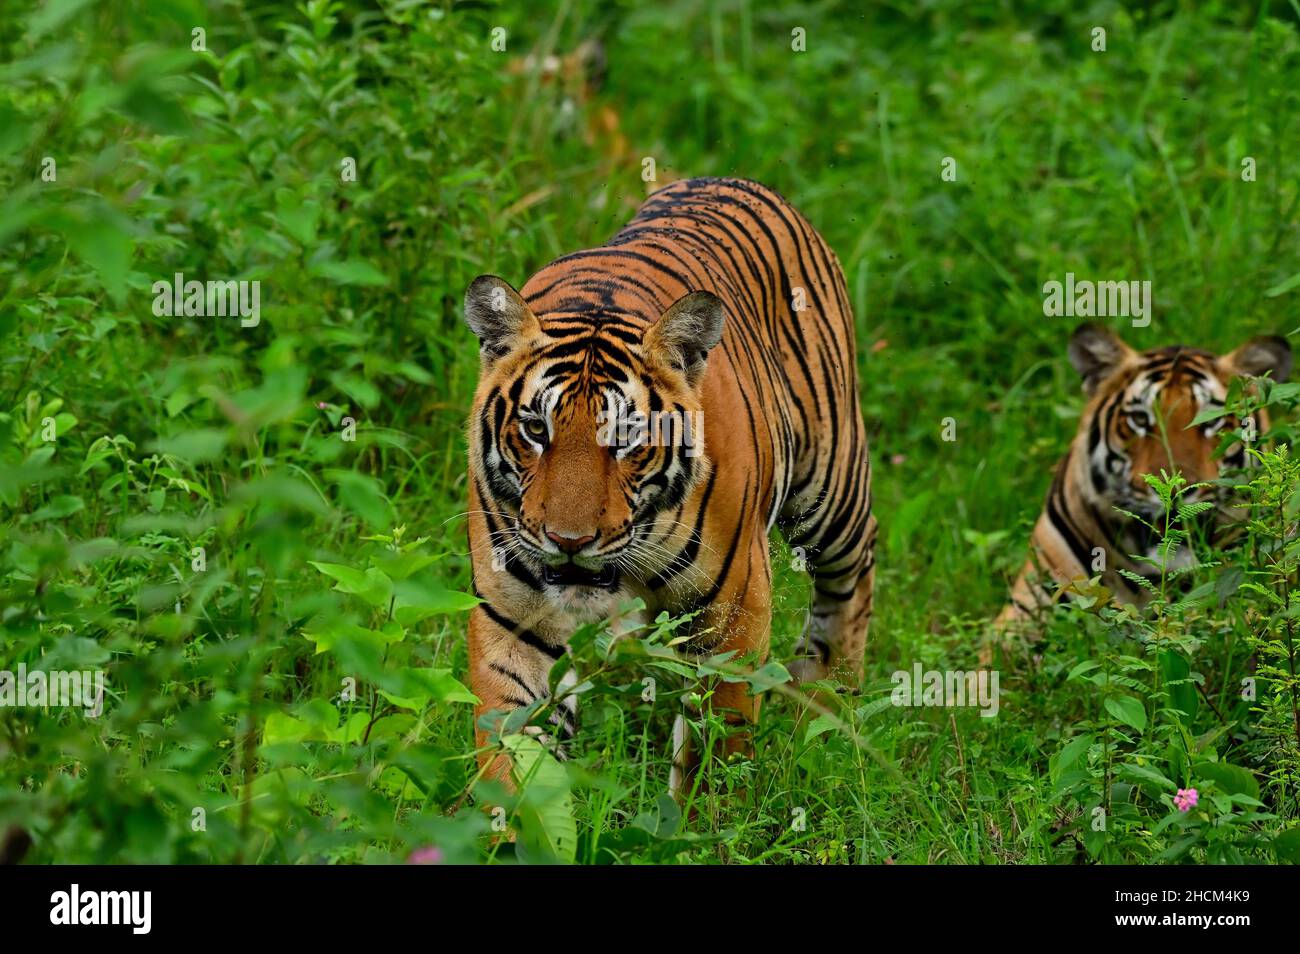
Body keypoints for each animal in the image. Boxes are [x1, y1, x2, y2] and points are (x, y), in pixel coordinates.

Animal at [462, 176, 876, 792]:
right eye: (536, 429)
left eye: (627, 435)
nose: (568, 542)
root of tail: (729, 179)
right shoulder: (513, 620)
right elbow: (513, 760)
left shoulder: (733, 616)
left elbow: (717, 755)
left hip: (831, 481)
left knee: (852, 574)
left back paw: (827, 708)